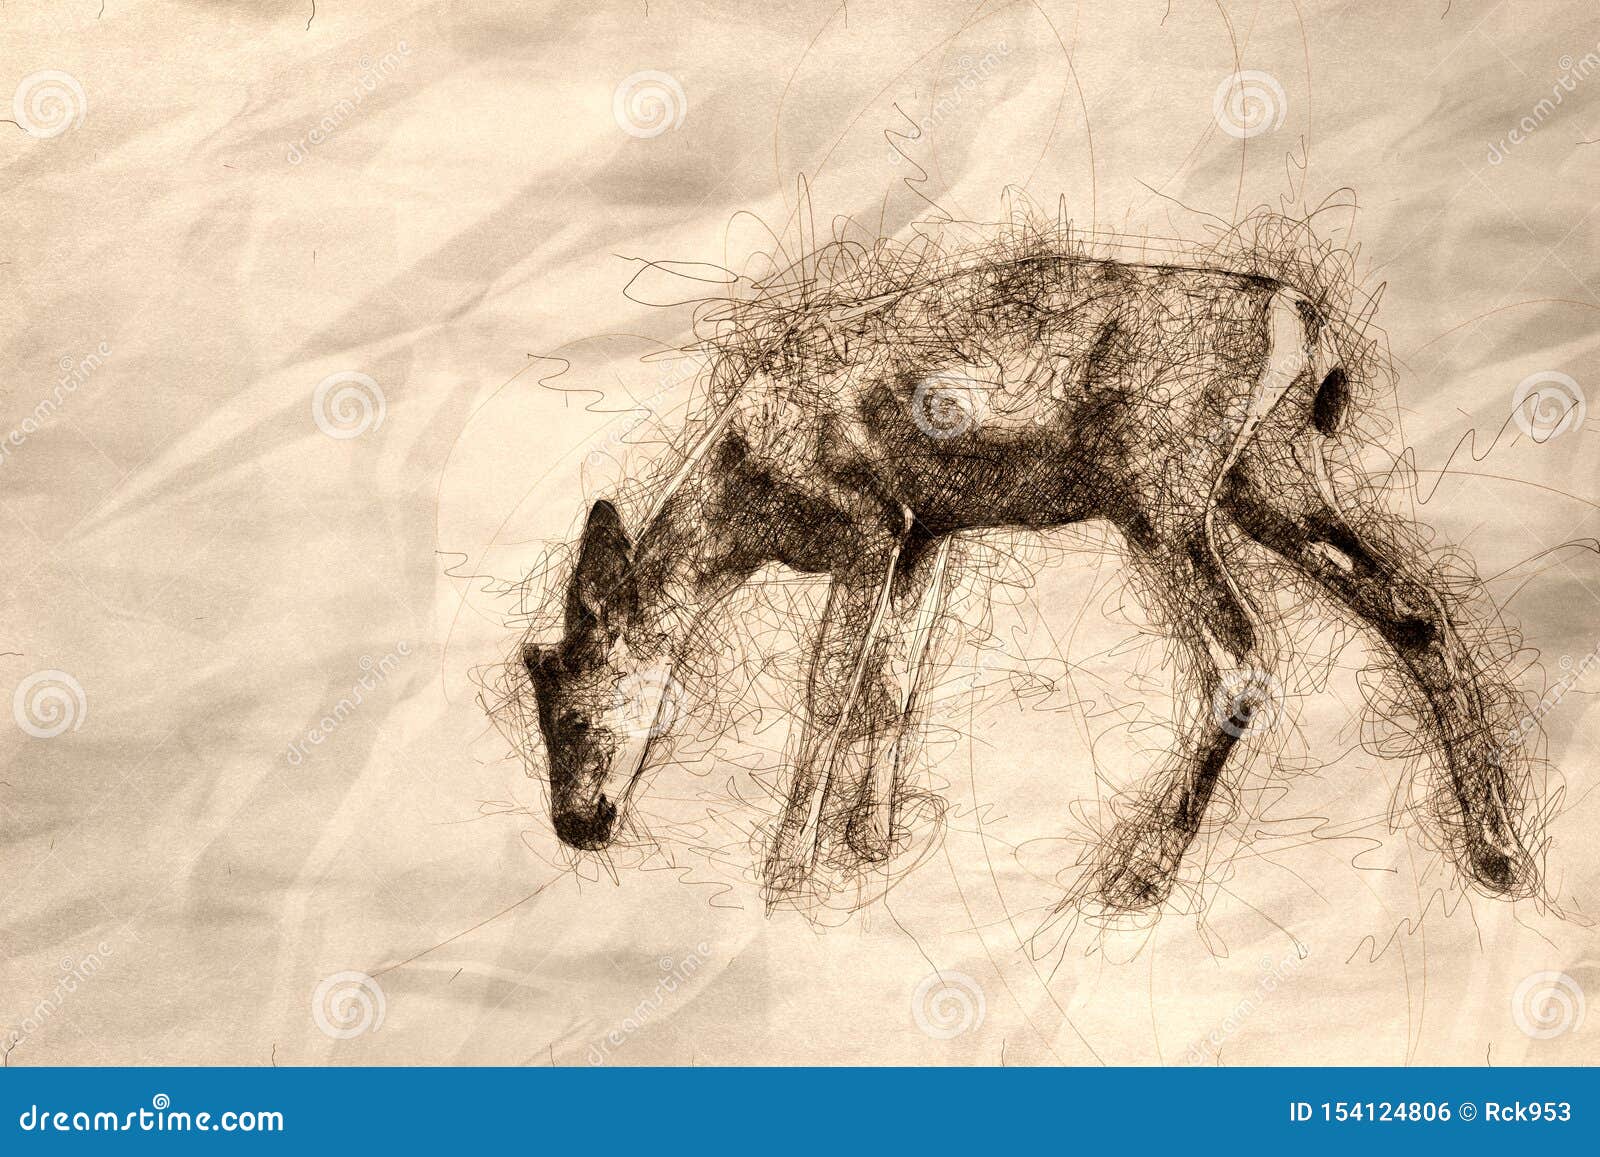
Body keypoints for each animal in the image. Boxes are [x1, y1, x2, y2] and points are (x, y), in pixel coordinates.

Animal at [518, 235, 1540, 913]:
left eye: (572, 711)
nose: (577, 825)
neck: (748, 492)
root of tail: (1303, 322)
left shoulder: (869, 521)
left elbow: (831, 687)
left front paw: (788, 870)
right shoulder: (926, 531)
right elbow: (893, 682)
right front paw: (870, 844)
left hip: (1164, 489)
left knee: (1241, 654)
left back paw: (1139, 872)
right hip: (1269, 473)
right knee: (1414, 608)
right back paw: (1499, 854)